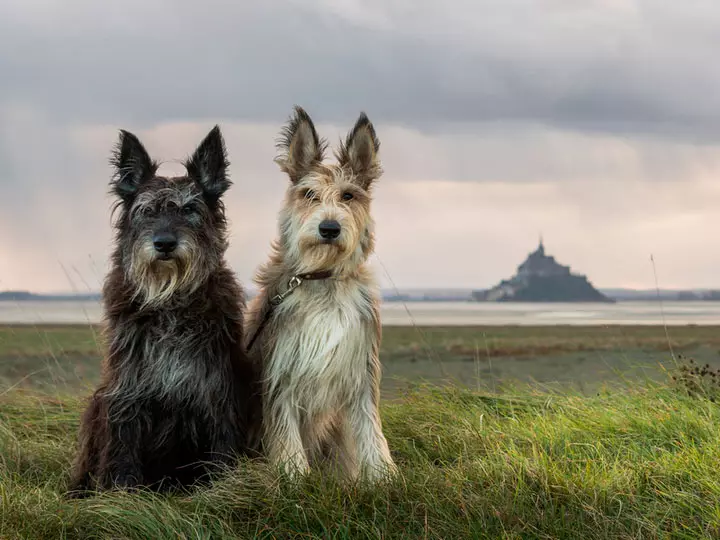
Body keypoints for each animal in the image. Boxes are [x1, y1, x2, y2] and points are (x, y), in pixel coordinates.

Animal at [67, 126, 262, 498]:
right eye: (146, 210)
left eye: (189, 209)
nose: (165, 243)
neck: (170, 299)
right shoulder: (128, 389)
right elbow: (124, 445)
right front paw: (121, 492)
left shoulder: (217, 389)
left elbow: (222, 442)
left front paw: (221, 487)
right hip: (98, 405)